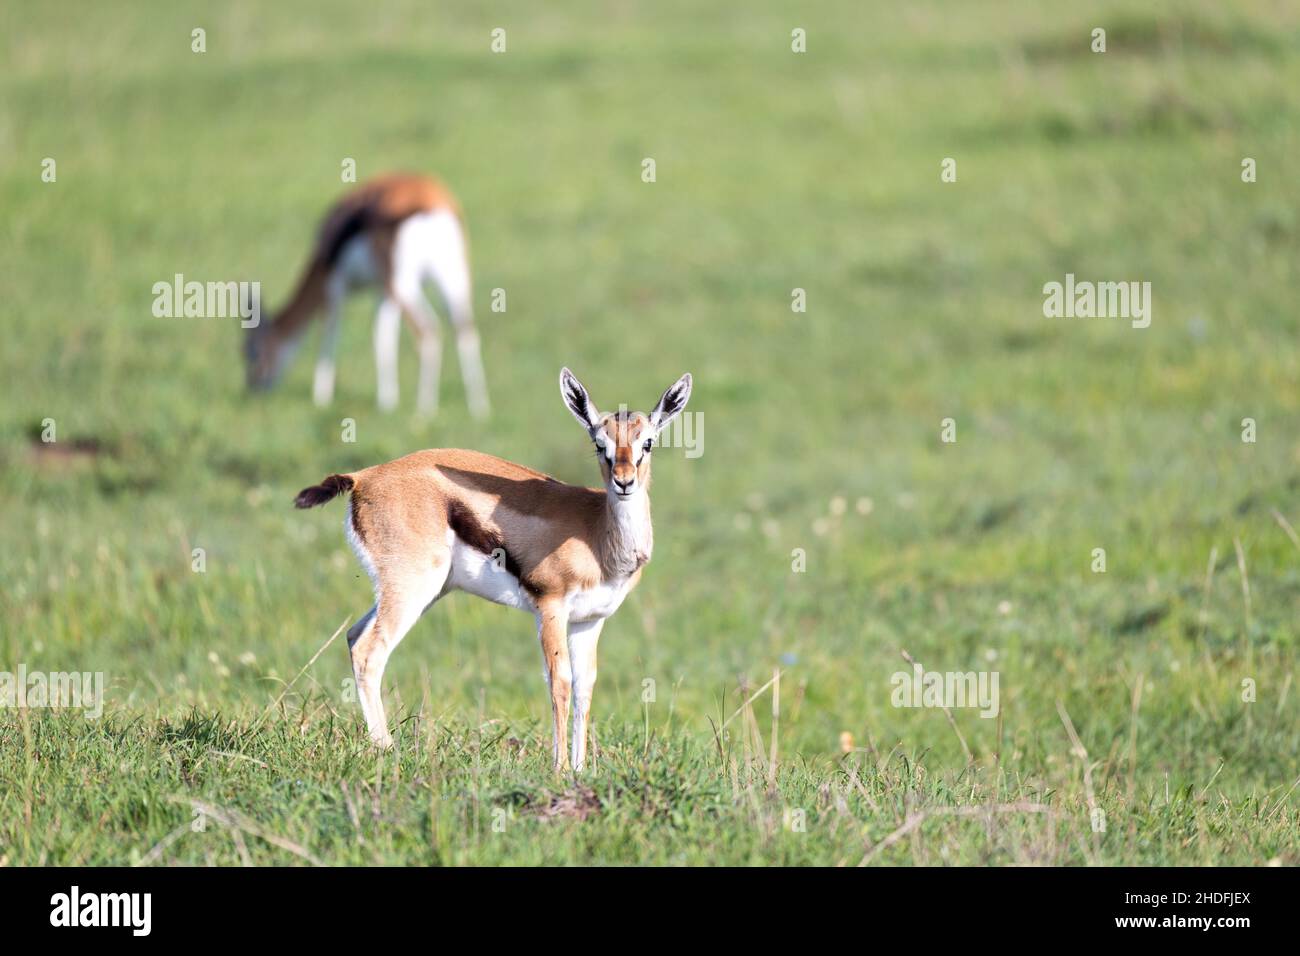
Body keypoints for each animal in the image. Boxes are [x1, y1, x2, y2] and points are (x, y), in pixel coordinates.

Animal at [245, 173, 489, 417]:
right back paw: (479, 408)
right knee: (466, 330)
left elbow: (329, 334)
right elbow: (383, 337)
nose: (252, 388)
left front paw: (321, 398)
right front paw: (387, 401)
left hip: (401, 284)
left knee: (428, 331)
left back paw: (425, 409)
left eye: (251, 351)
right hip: (453, 281)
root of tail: (430, 202)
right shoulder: (381, 292)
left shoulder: (334, 288)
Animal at [293, 368, 693, 770]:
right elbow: (560, 681)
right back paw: (387, 750)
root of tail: (364, 476)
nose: (624, 482)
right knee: (369, 652)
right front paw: (560, 769)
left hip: (420, 591)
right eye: (599, 444)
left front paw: (579, 770)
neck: (597, 532)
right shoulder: (550, 607)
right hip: (412, 588)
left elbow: (585, 686)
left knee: (353, 636)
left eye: (648, 443)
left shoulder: (589, 620)